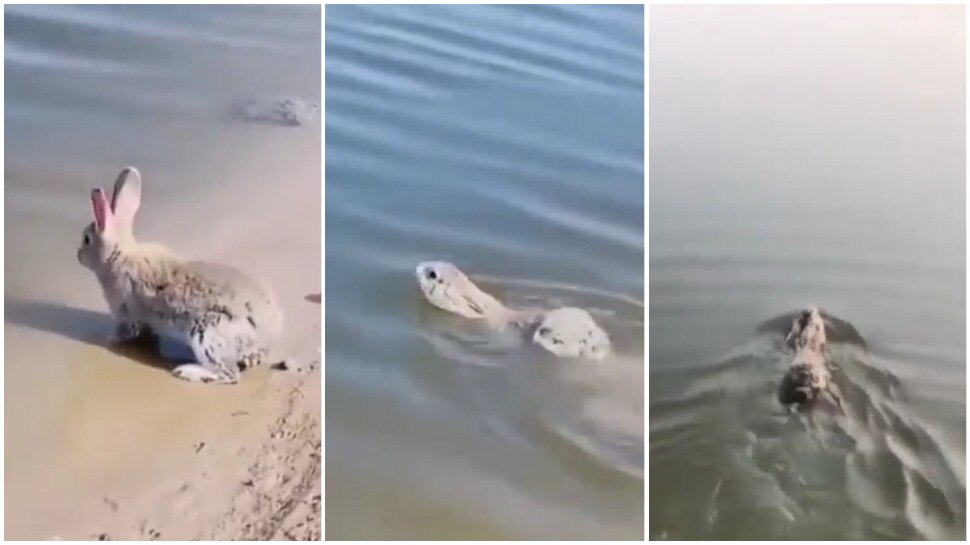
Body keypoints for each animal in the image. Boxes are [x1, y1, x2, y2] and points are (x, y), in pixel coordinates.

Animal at [76, 167, 283, 384]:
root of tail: (269, 335)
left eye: (86, 239)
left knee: (229, 374)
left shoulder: (126, 312)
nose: (78, 254)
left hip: (207, 336)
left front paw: (112, 339)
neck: (118, 254)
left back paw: (186, 371)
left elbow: (126, 329)